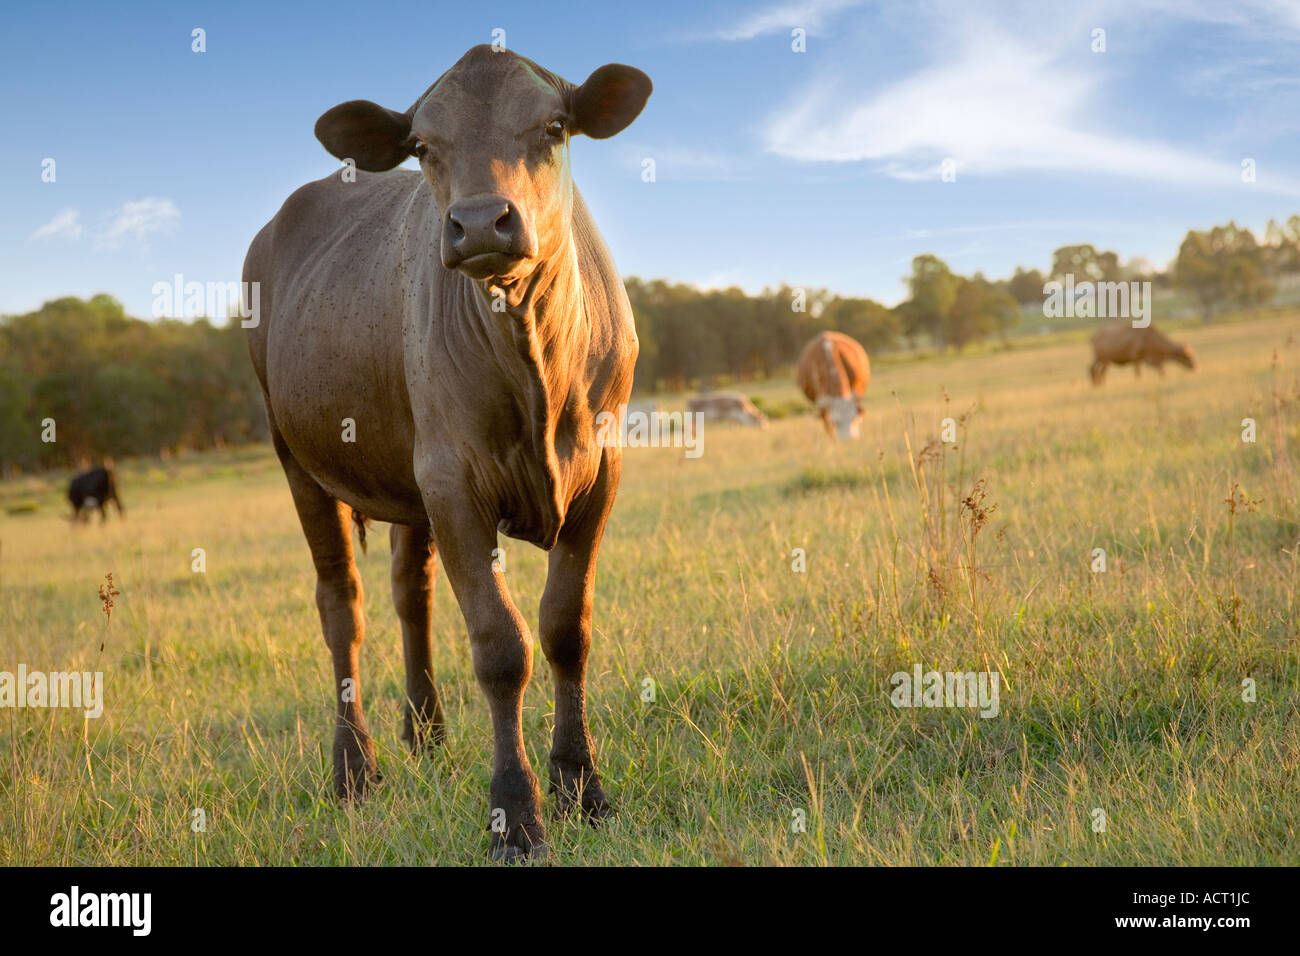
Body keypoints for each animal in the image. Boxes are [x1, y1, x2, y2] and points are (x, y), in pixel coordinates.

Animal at [242, 45, 651, 861]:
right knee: (342, 606)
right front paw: (516, 814)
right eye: (425, 147)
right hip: (296, 457)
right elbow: (500, 645)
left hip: (406, 483)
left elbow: (566, 628)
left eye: (554, 127)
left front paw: (580, 786)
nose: (480, 221)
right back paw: (354, 766)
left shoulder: (600, 473)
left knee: (411, 594)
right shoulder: (454, 481)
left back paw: (425, 732)